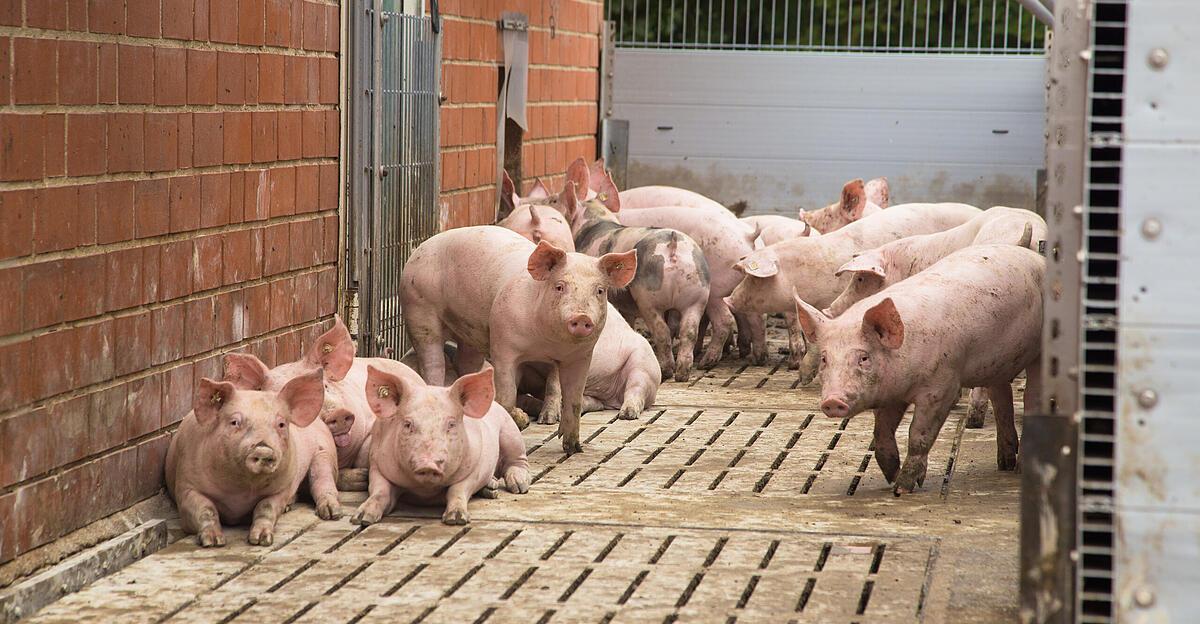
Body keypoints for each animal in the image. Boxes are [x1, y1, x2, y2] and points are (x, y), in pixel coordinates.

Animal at [165, 368, 341, 547]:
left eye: (281, 424)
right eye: (234, 422)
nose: (263, 448)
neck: (240, 492)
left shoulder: (282, 488)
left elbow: (266, 508)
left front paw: (262, 540)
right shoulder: (186, 485)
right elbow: (206, 509)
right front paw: (213, 542)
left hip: (325, 453)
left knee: (323, 481)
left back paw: (333, 514)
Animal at [350, 363, 531, 526]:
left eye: (451, 424)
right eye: (408, 424)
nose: (428, 464)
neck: (425, 492)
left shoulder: (475, 468)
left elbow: (457, 490)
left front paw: (456, 519)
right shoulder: (377, 463)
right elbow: (379, 491)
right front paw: (361, 519)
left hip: (510, 432)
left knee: (518, 460)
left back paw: (519, 486)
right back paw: (492, 487)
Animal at [400, 225, 636, 454]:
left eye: (600, 290)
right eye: (559, 286)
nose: (582, 317)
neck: (546, 344)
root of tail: (420, 249)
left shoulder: (581, 356)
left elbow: (573, 398)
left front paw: (573, 448)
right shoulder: (503, 344)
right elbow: (507, 394)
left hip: (470, 331)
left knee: (466, 363)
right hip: (419, 309)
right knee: (433, 362)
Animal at [615, 202, 766, 366]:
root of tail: (749, 236)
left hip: (716, 291)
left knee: (726, 319)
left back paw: (706, 362)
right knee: (757, 317)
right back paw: (757, 358)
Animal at [791, 244, 1044, 495]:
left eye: (863, 358)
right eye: (825, 359)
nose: (832, 401)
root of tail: (1033, 255)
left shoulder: (942, 386)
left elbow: (919, 435)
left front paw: (902, 489)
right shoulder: (891, 394)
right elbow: (881, 432)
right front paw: (892, 476)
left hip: (1040, 351)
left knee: (1032, 398)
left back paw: (1019, 469)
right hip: (997, 364)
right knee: (1001, 398)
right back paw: (1005, 464)